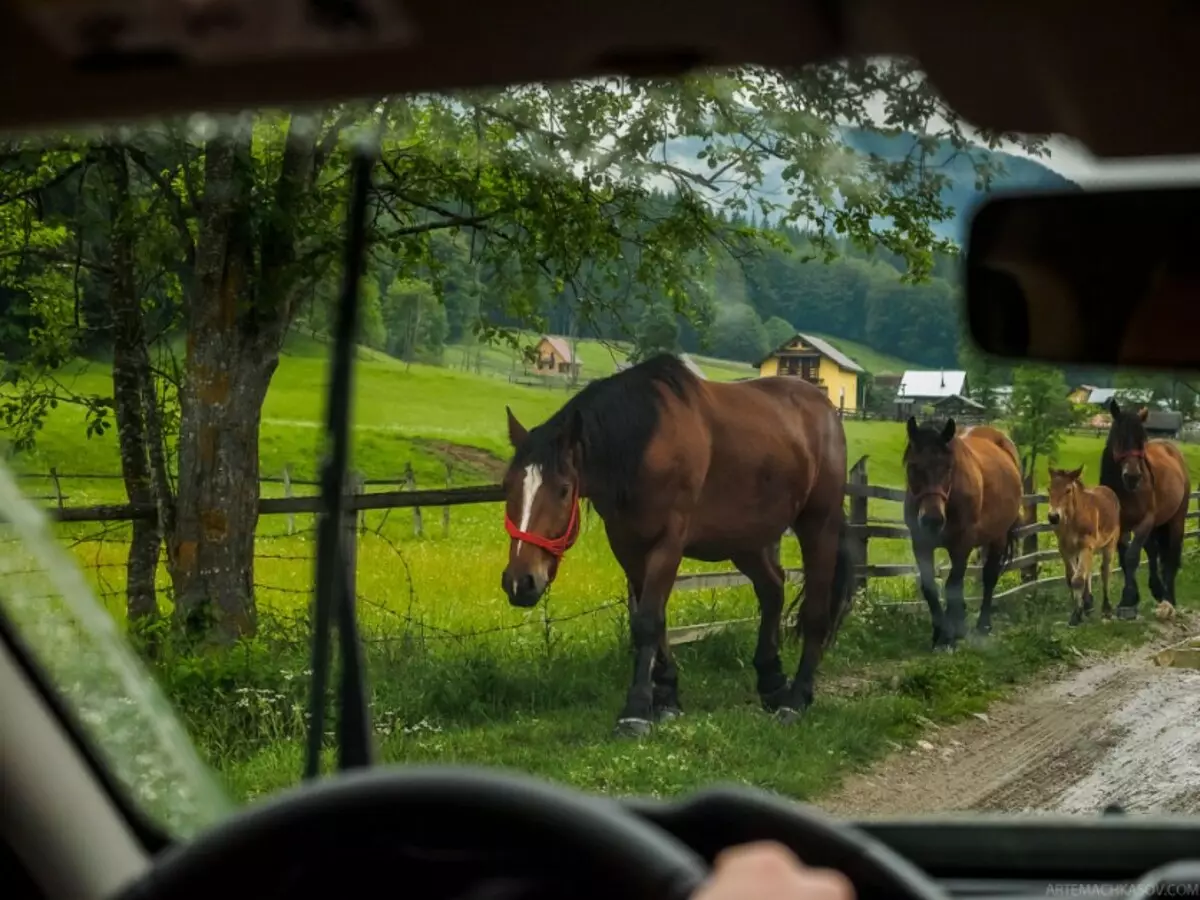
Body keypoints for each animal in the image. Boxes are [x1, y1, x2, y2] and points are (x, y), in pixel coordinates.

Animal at [496, 350, 854, 734]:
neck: (646, 443)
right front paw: (666, 696)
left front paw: (637, 710)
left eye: (564, 490)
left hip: (818, 526)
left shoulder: (668, 543)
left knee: (816, 611)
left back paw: (796, 698)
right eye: (508, 485)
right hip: (746, 540)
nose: (520, 582)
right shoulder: (628, 546)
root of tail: (825, 410)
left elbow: (647, 621)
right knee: (773, 589)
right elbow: (655, 620)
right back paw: (771, 682)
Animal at [902, 420, 1022, 652]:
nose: (932, 520)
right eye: (912, 466)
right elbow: (930, 587)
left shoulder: (962, 544)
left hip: (998, 536)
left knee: (989, 577)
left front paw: (947, 636)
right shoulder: (920, 544)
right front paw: (940, 632)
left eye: (948, 468)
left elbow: (952, 585)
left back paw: (982, 625)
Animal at [1099, 400, 1190, 619]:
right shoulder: (1121, 526)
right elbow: (1124, 558)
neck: (1124, 491)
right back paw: (1157, 590)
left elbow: (1132, 557)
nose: (1132, 477)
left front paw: (1128, 598)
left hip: (1176, 520)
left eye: (1142, 441)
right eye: (1120, 439)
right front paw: (1129, 600)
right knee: (1153, 551)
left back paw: (1168, 598)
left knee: (1170, 557)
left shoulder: (1145, 521)